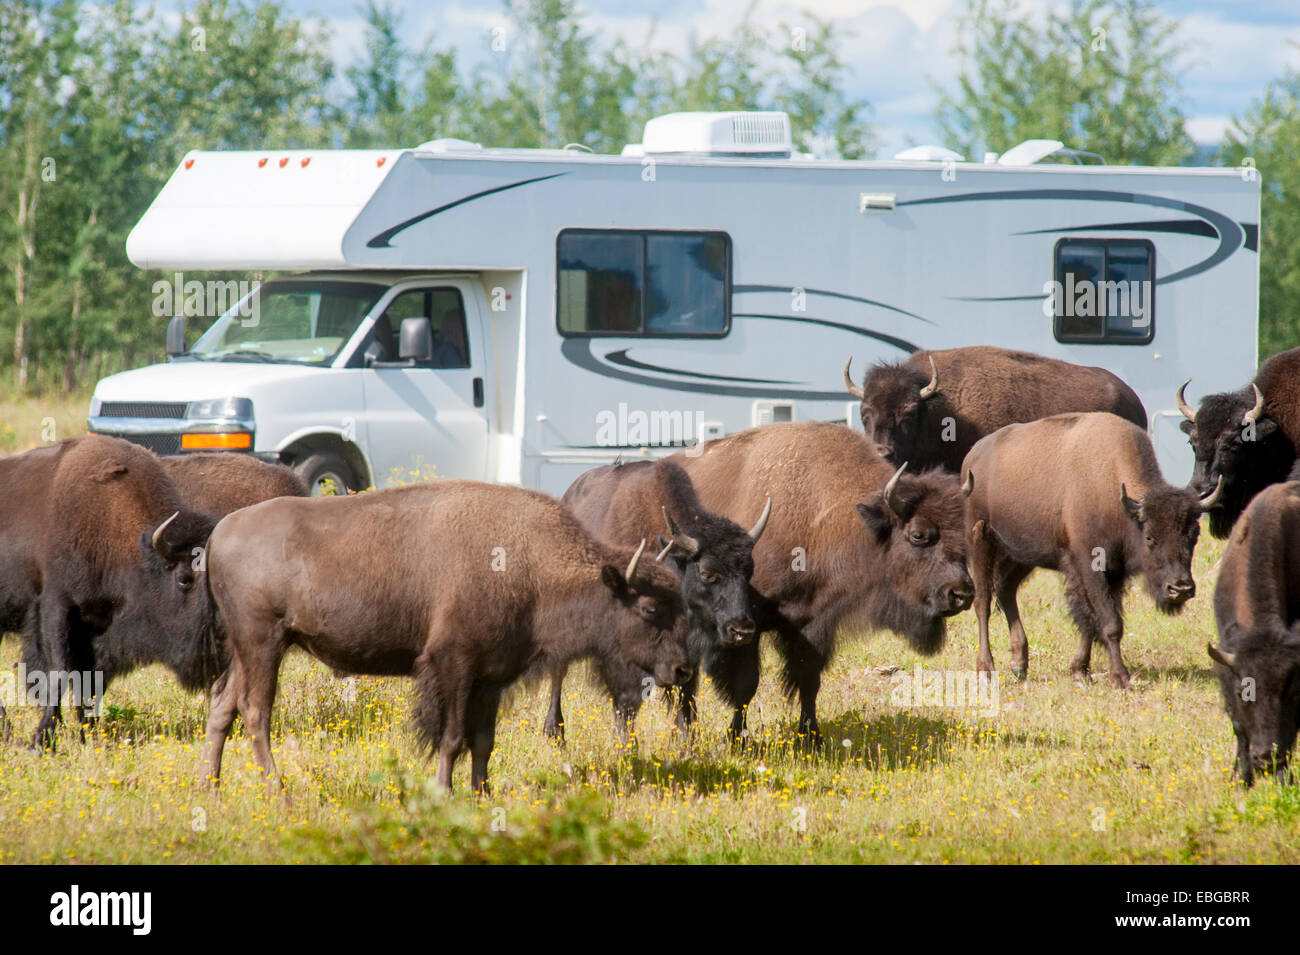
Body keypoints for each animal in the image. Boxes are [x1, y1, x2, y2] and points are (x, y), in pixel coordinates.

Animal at [203, 481, 694, 793]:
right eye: (650, 609)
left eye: (683, 606)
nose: (682, 668)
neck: (532, 563)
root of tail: (219, 533)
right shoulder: (453, 665)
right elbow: (452, 737)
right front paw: (443, 793)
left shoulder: (491, 679)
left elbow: (483, 742)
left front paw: (483, 795)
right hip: (264, 642)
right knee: (255, 711)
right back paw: (278, 791)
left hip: (247, 650)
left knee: (222, 705)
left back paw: (212, 787)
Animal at [547, 458, 769, 741]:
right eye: (707, 573)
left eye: (748, 571)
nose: (742, 630)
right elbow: (627, 700)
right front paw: (626, 743)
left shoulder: (684, 654)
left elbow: (684, 696)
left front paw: (685, 741)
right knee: (558, 671)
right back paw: (555, 732)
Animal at [673, 421, 973, 741]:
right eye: (917, 534)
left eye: (961, 532)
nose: (962, 593)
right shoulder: (745, 624)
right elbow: (746, 685)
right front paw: (737, 739)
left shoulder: (813, 623)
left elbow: (809, 681)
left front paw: (811, 738)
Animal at [963, 412, 1220, 688]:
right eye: (1150, 537)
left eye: (1194, 536)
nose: (1180, 588)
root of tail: (973, 455)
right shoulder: (1090, 566)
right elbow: (1110, 623)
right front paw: (1120, 678)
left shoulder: (1114, 573)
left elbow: (1090, 621)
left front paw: (1080, 671)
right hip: (981, 541)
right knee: (983, 602)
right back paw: (986, 670)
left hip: (1022, 554)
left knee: (1006, 591)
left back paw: (1019, 666)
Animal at [1207, 481, 1300, 786]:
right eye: (1242, 692)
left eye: (1291, 692)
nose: (1266, 758)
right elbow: (1238, 726)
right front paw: (1241, 778)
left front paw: (1284, 779)